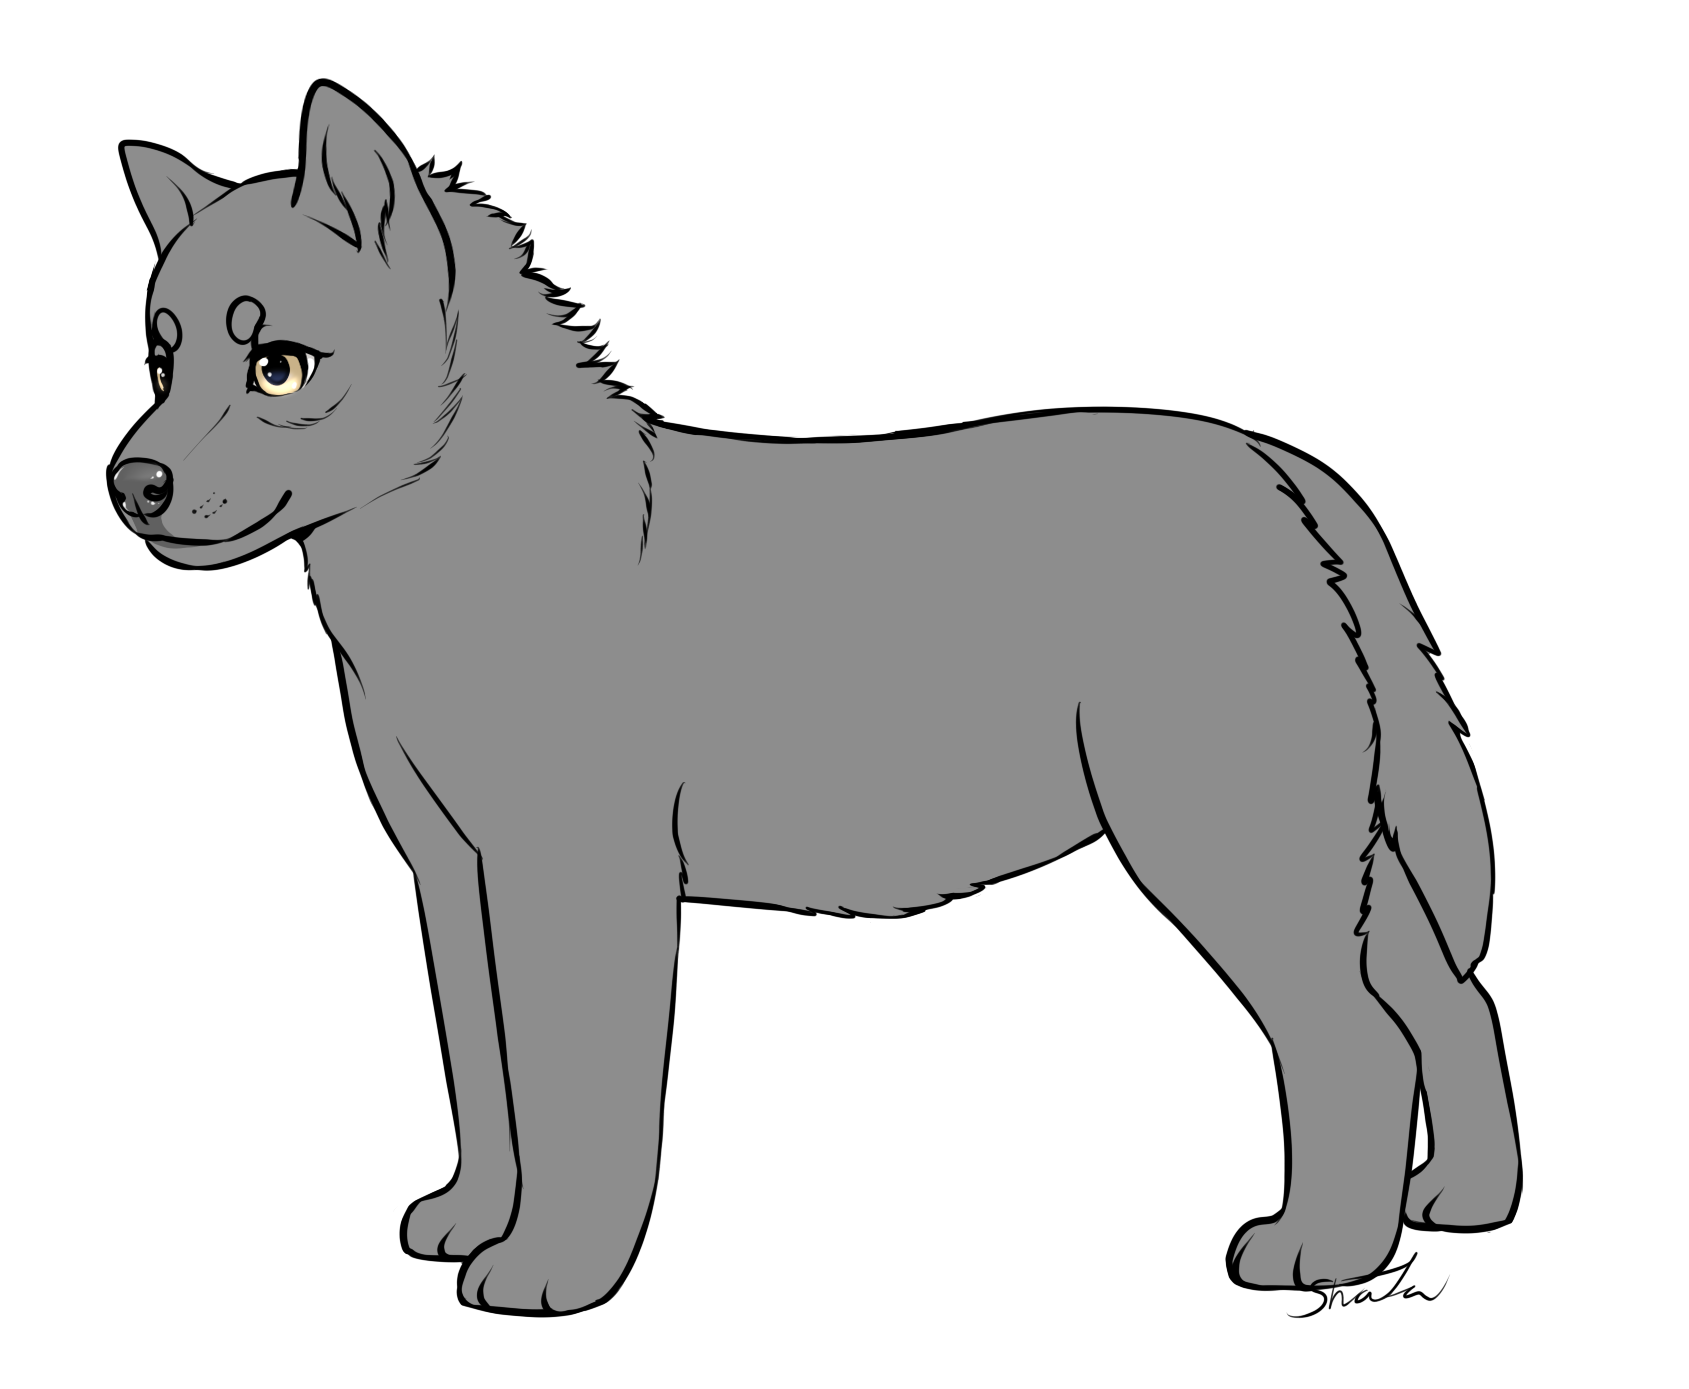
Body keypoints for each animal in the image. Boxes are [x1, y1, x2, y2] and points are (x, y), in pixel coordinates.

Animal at [113, 87, 1517, 1306]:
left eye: (279, 366)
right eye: (161, 367)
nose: (132, 484)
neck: (463, 561)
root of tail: (1273, 462)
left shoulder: (584, 882)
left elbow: (582, 1097)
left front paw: (555, 1266)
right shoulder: (455, 879)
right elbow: (488, 1076)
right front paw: (478, 1218)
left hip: (1229, 851)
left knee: (1361, 1039)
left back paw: (1326, 1249)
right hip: (1326, 852)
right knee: (1448, 1003)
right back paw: (1466, 1197)